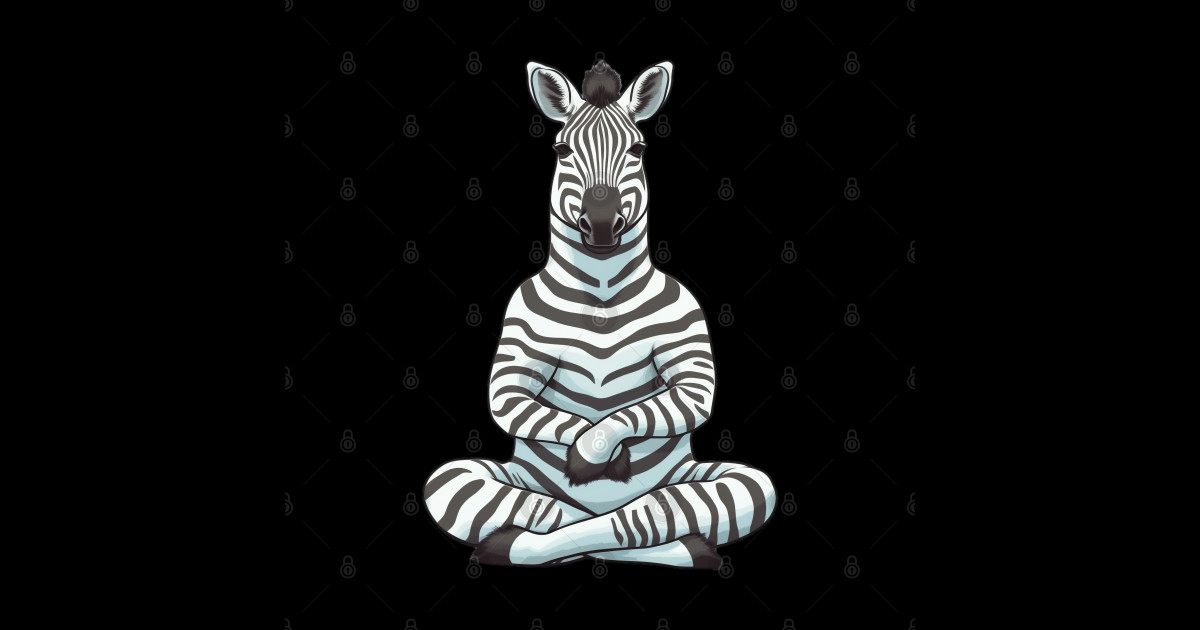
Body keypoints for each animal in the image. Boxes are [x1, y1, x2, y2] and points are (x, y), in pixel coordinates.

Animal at [423, 59, 777, 568]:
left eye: (638, 148)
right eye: (562, 149)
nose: (604, 227)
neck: (602, 294)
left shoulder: (690, 343)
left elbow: (676, 401)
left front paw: (600, 455)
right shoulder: (513, 345)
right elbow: (512, 400)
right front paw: (593, 458)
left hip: (716, 482)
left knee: (651, 510)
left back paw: (681, 547)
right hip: (484, 481)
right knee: (553, 512)